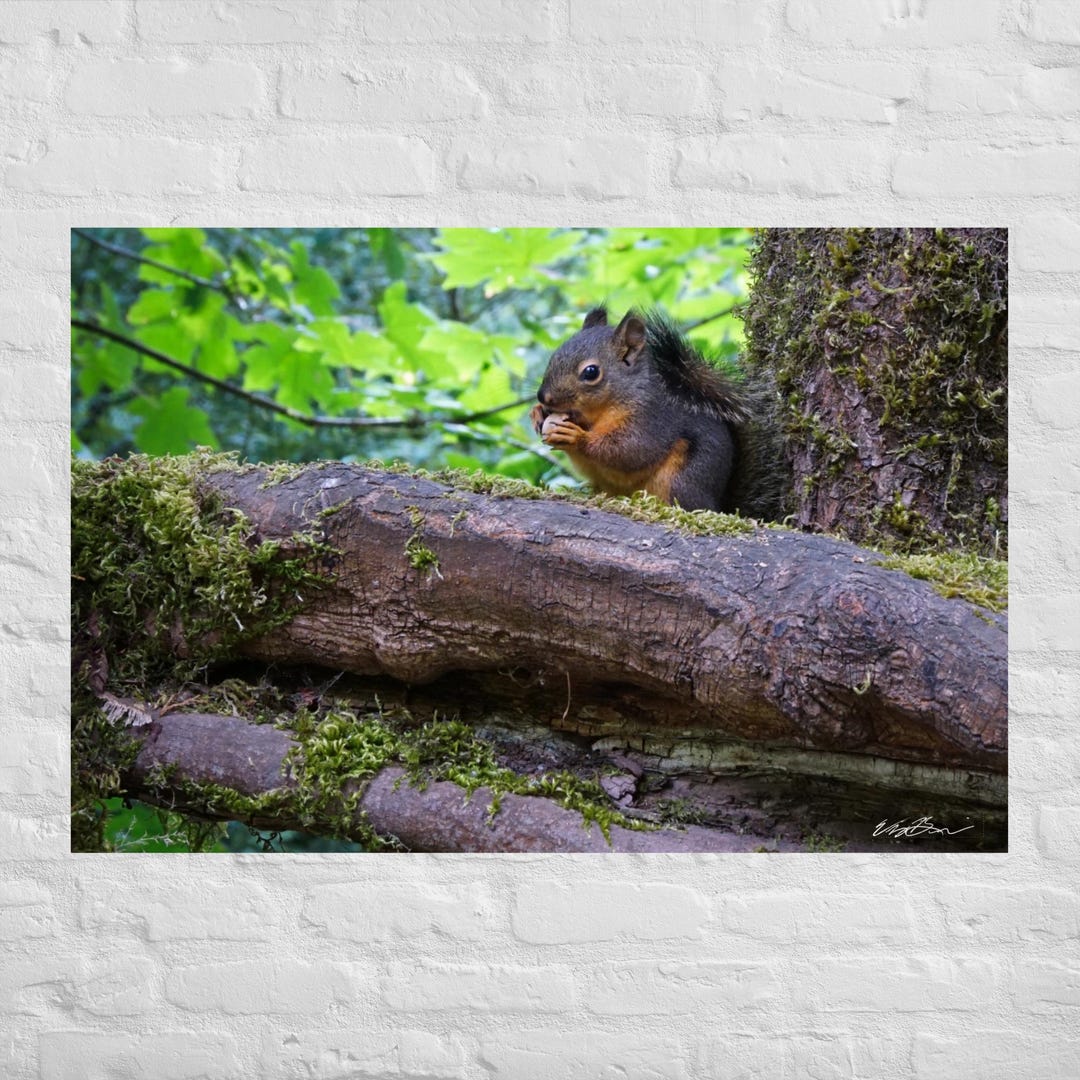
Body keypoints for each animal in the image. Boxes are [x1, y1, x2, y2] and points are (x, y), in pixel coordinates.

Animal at [530, 306, 769, 514]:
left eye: (591, 372)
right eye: (554, 356)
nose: (543, 397)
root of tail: (718, 503)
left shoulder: (651, 417)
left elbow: (632, 450)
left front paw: (575, 436)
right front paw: (537, 414)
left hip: (681, 480)